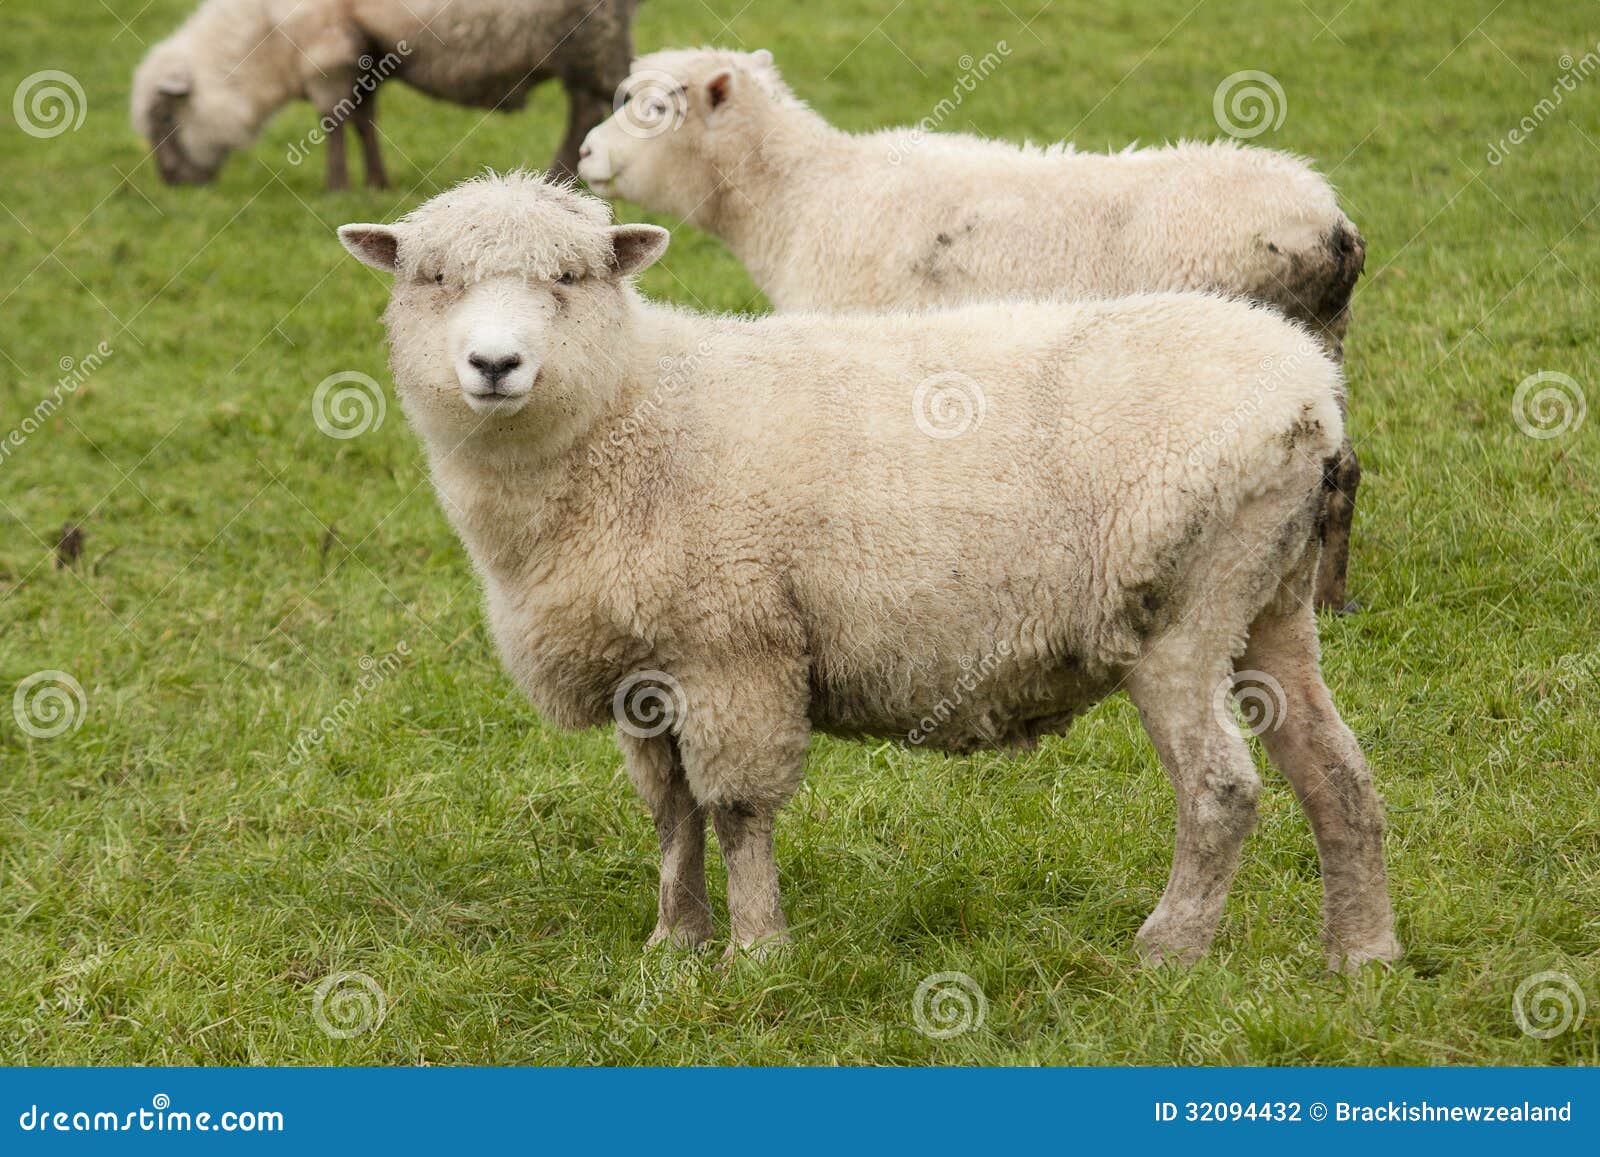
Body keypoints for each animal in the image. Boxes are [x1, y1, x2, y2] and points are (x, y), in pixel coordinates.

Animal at [131, 0, 638, 189]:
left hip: (588, 33)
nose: (171, 181)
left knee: (589, 106)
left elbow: (333, 122)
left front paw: (336, 186)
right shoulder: (363, 51)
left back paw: (560, 176)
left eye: (165, 118)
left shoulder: (326, 48)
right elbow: (364, 119)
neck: (264, 39)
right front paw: (376, 181)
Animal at [336, 171, 1400, 971]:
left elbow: (735, 807)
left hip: (1184, 611)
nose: (494, 364)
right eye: (433, 277)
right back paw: (1362, 953)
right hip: (1272, 601)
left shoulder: (734, 645)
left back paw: (1166, 951)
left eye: (568, 276)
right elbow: (671, 811)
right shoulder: (642, 663)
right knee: (1337, 771)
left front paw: (757, 952)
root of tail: (1311, 393)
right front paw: (673, 942)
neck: (630, 413)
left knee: (1222, 789)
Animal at [576, 47, 1368, 612]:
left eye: (654, 107)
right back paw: (1328, 598)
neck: (797, 199)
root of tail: (1332, 226)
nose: (584, 154)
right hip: (1319, 345)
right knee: (1343, 470)